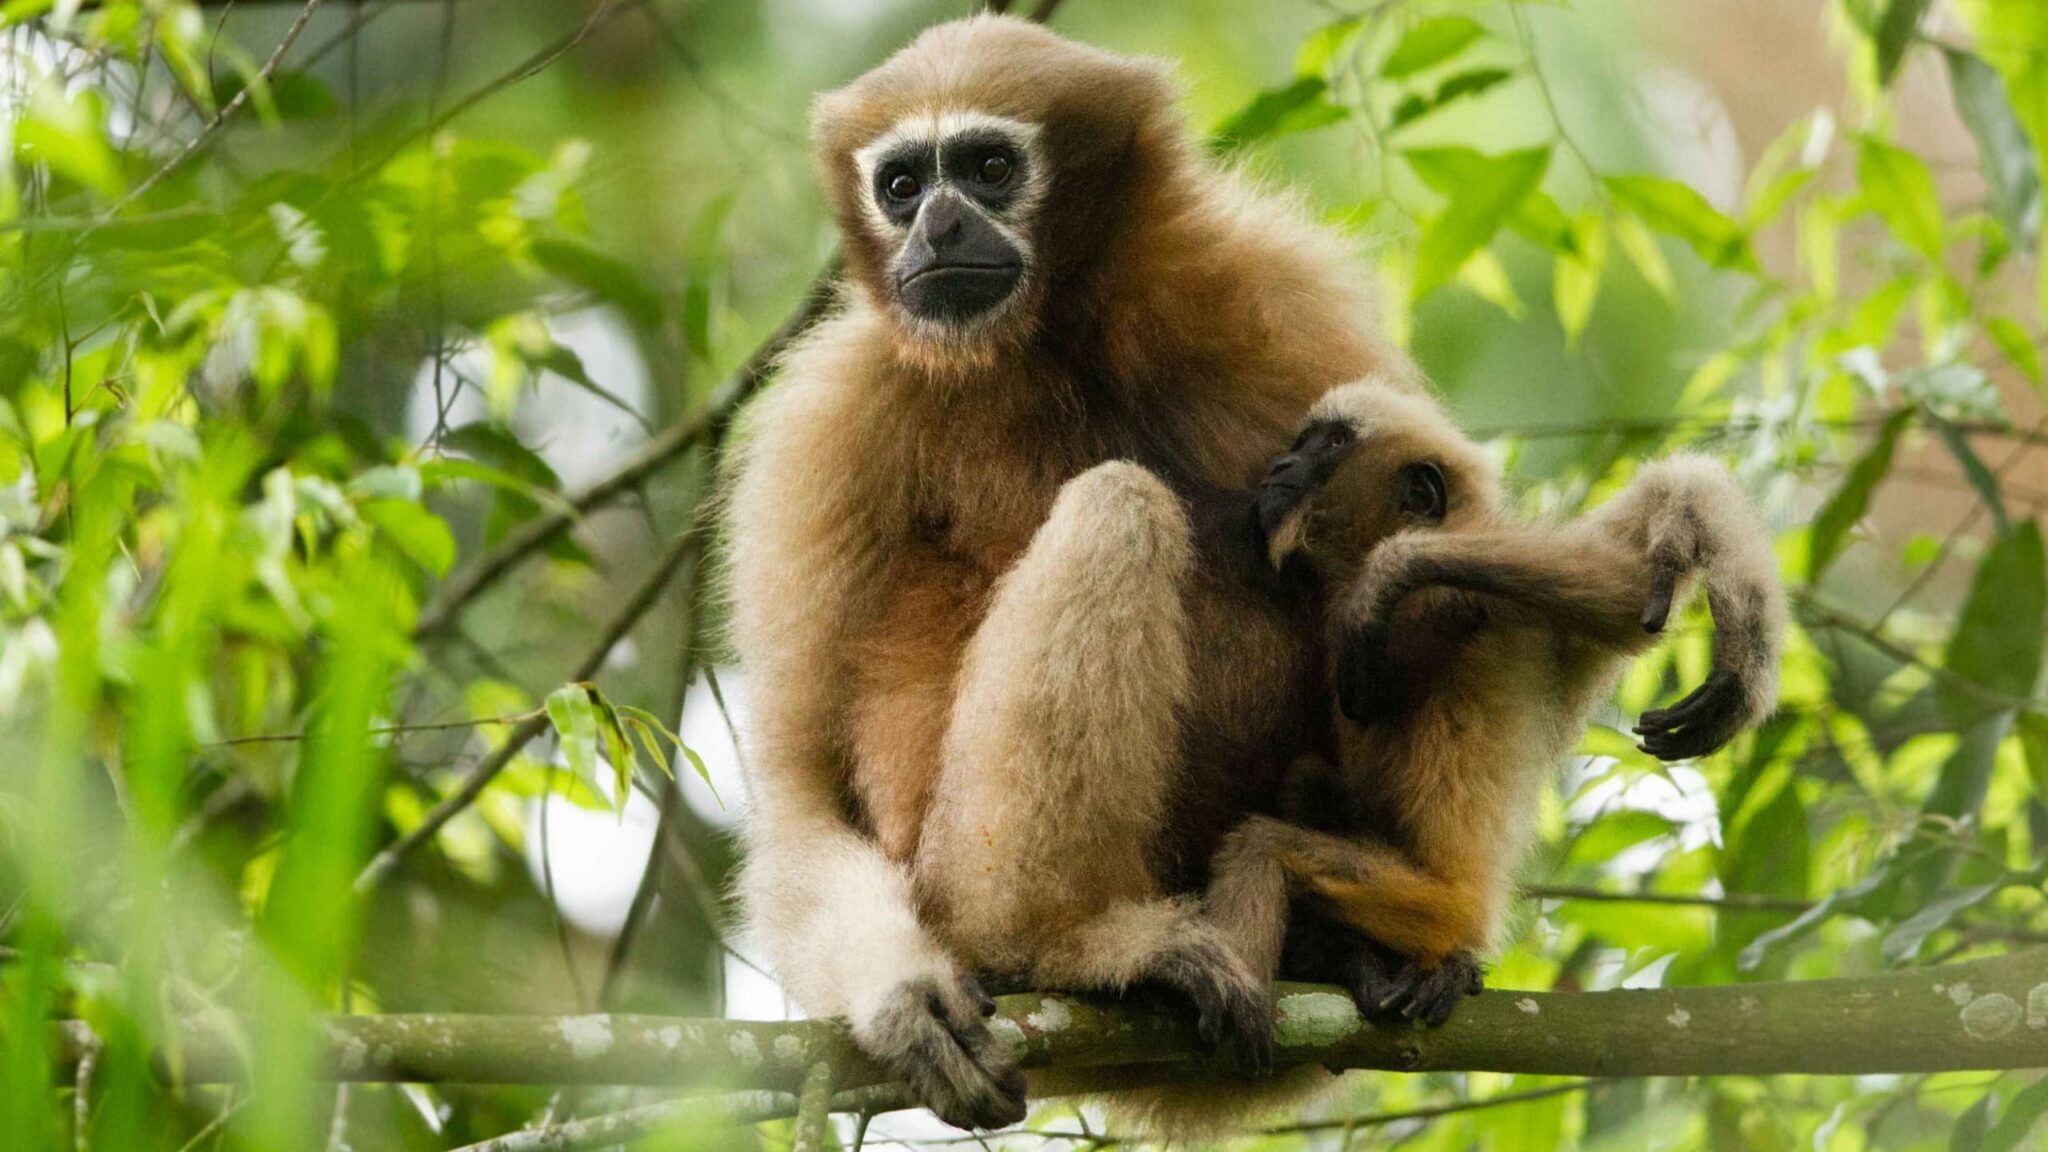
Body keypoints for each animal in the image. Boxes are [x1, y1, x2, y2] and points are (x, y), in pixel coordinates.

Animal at [723, 15, 1425, 1129]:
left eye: (988, 168)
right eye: (901, 186)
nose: (938, 227)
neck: (1052, 342)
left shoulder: (1280, 295)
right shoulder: (831, 418)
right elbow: (802, 790)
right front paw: (902, 996)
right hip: (953, 871)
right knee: (1118, 508)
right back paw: (1071, 947)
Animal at [1199, 381, 1788, 1027]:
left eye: (1327, 446)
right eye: (1298, 445)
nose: (1280, 466)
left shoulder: (1464, 604)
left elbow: (1626, 592)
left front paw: (1387, 570)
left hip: (1435, 907)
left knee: (1263, 848)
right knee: (1306, 778)